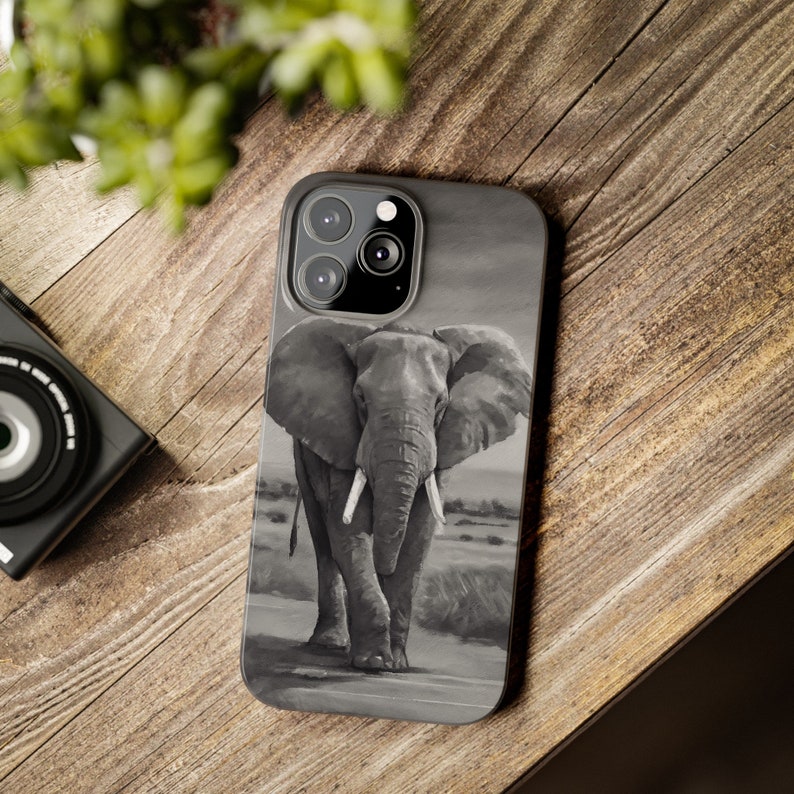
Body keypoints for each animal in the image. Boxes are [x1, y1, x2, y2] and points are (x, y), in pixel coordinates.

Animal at [264, 317, 531, 671]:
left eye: (440, 403)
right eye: (360, 398)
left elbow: (418, 533)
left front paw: (395, 664)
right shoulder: (342, 436)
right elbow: (347, 529)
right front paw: (374, 662)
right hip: (303, 456)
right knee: (323, 539)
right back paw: (330, 644)